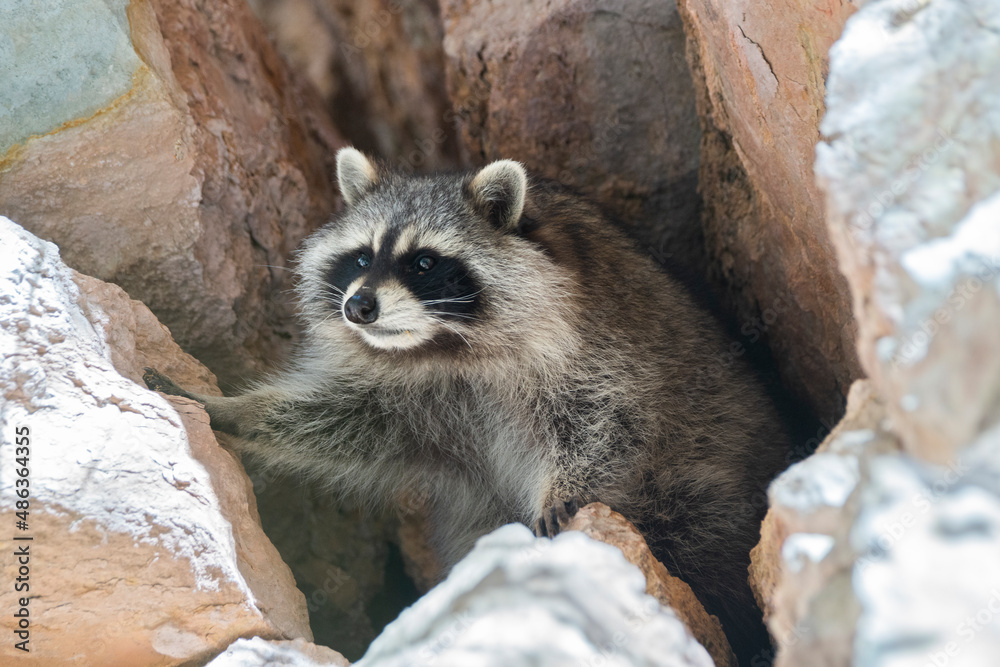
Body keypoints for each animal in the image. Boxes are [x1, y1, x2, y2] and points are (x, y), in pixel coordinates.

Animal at [144, 147, 789, 662]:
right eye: (361, 257)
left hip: (702, 485)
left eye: (424, 262)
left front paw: (564, 487)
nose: (358, 307)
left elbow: (609, 419)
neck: (446, 351)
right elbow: (342, 419)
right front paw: (235, 411)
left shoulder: (602, 346)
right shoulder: (413, 397)